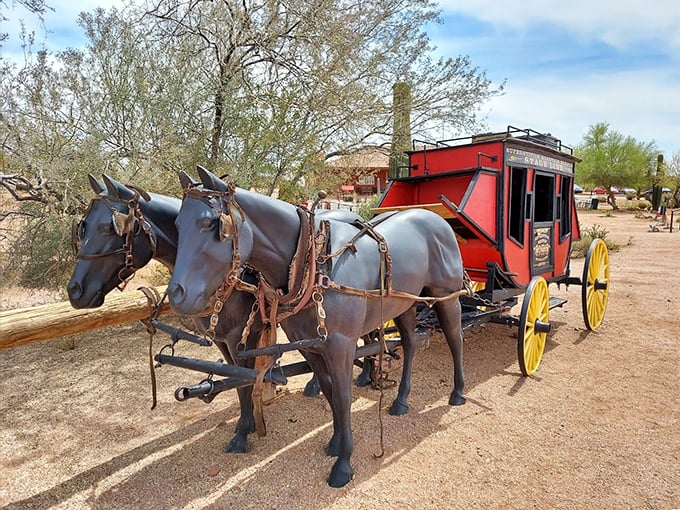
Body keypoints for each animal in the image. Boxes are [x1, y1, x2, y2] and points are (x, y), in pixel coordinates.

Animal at [67, 173, 369, 454]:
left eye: (110, 227)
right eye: (83, 227)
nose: (75, 290)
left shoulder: (240, 337)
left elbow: (244, 382)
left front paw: (243, 432)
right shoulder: (223, 340)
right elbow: (237, 383)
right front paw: (248, 423)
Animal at [167, 166, 466, 487]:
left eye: (209, 223)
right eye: (177, 223)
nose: (177, 294)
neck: (313, 264)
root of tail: (436, 220)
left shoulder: (341, 344)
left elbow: (344, 397)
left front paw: (344, 463)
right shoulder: (309, 346)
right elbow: (328, 390)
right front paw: (335, 442)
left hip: (447, 297)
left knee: (455, 338)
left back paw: (458, 392)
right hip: (406, 304)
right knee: (410, 344)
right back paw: (400, 401)